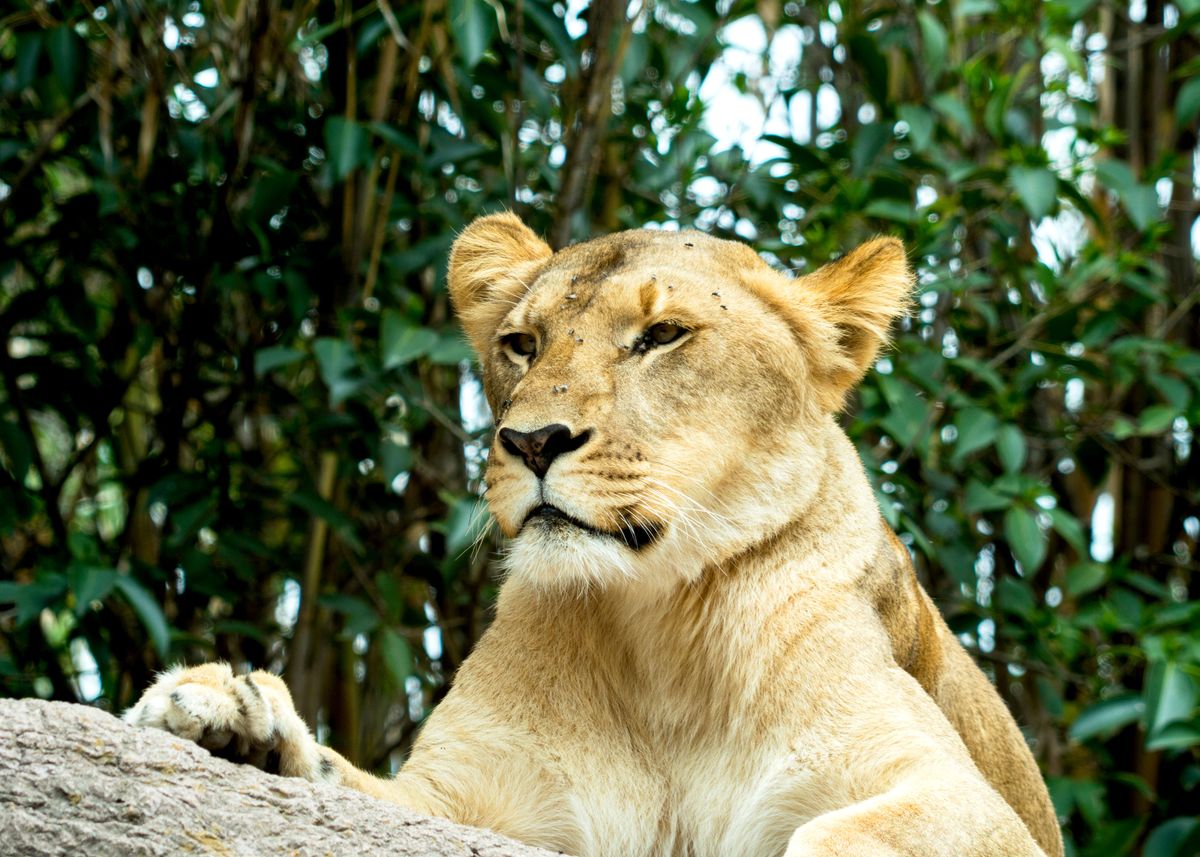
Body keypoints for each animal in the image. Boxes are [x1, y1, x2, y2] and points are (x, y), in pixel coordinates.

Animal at [124, 214, 1063, 857]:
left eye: (662, 335)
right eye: (521, 343)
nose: (533, 441)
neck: (657, 638)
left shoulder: (963, 801)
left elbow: (835, 834)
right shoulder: (469, 802)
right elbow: (353, 787)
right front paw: (231, 715)